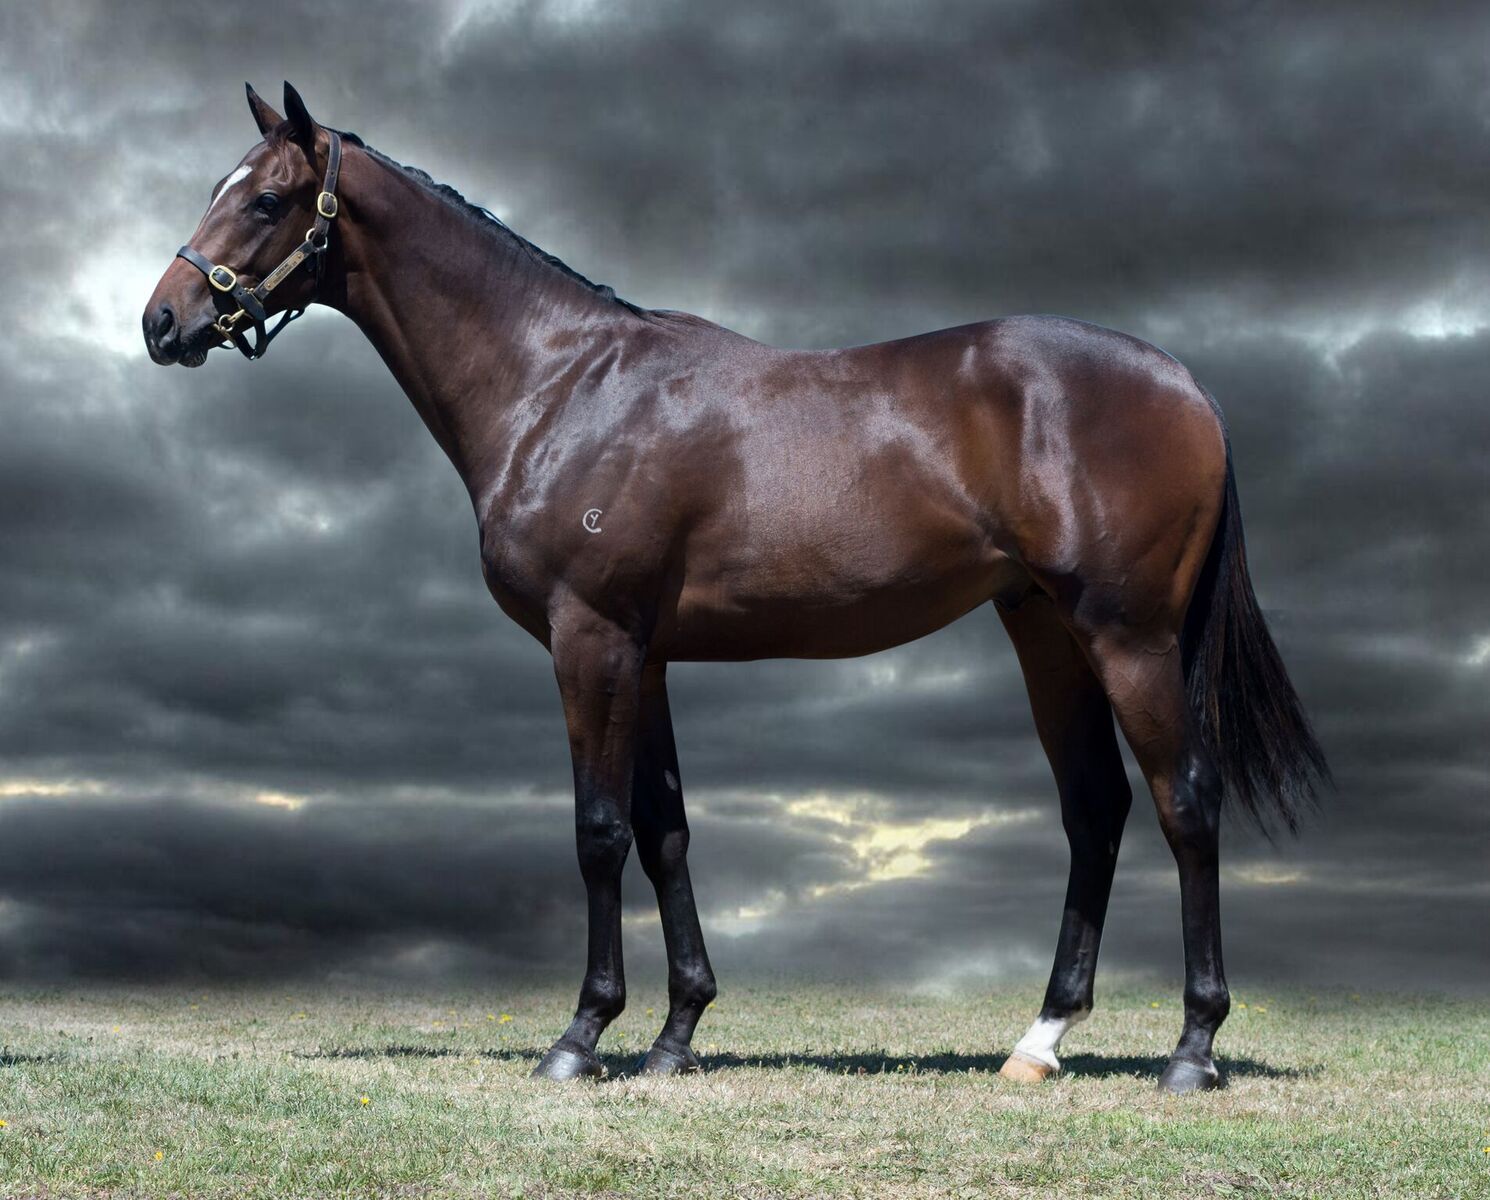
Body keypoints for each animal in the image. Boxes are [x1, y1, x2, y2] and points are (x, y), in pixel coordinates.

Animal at [143, 83, 1328, 1093]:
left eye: (264, 198)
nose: (162, 323)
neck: (560, 384)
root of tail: (1185, 385)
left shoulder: (591, 640)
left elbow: (599, 832)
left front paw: (581, 1038)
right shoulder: (647, 655)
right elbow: (664, 831)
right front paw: (675, 1036)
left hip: (1128, 634)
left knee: (1184, 804)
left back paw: (1190, 1050)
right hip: (1044, 629)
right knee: (1095, 809)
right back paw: (1038, 1042)